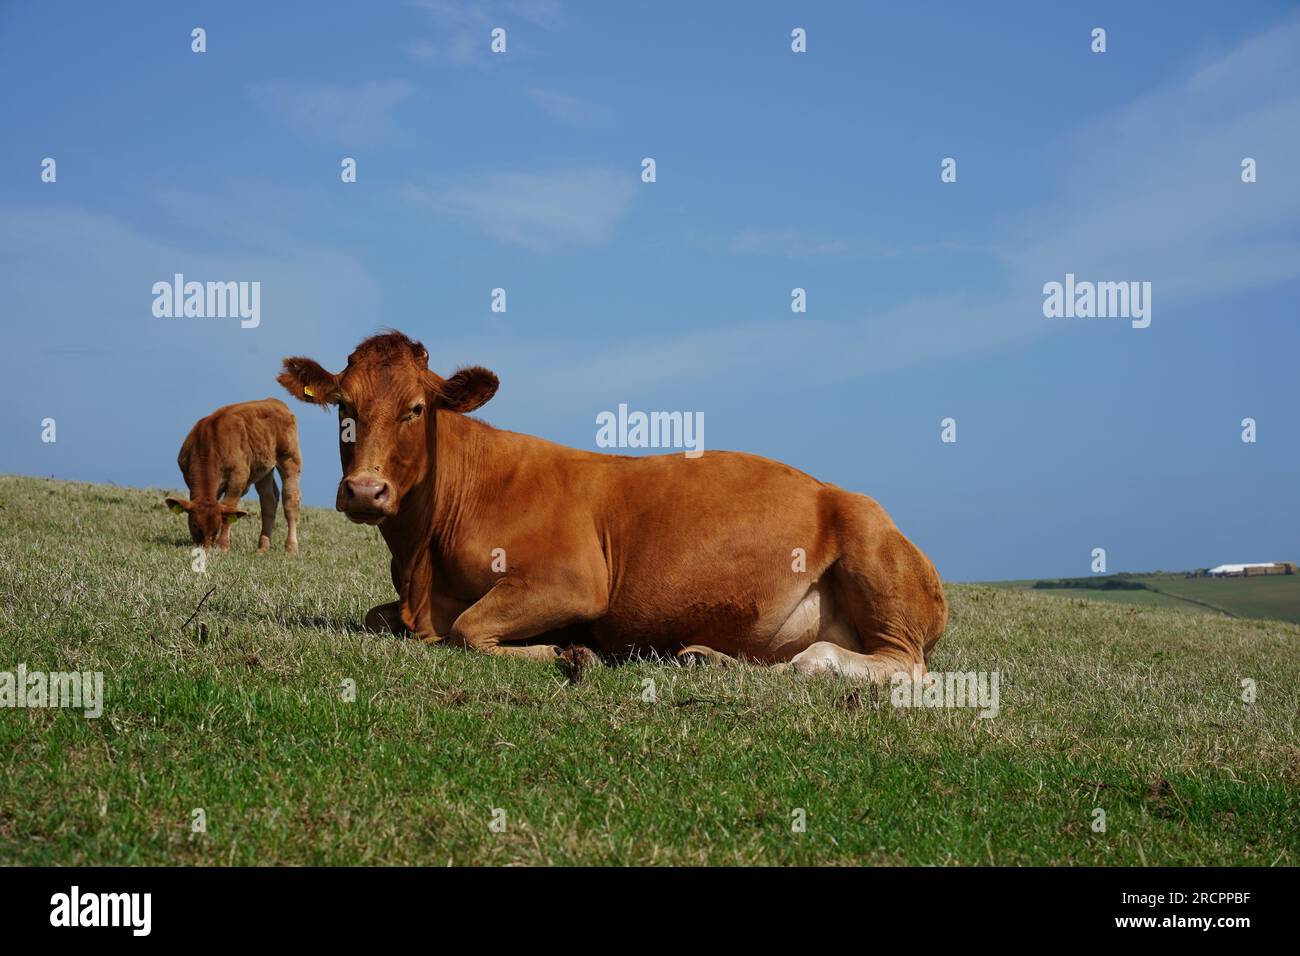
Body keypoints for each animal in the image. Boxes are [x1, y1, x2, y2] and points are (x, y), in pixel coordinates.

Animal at [165, 398, 303, 553]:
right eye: (194, 524)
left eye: (217, 526)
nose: (205, 547)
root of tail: (274, 401)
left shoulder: (238, 478)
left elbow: (228, 509)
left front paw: (223, 546)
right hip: (264, 468)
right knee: (268, 501)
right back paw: (262, 548)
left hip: (290, 458)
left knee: (290, 501)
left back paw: (291, 548)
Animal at [277, 332, 946, 681]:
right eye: (344, 407)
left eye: (417, 408)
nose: (366, 491)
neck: (422, 565)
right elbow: (377, 617)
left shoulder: (573, 581)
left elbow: (468, 628)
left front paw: (569, 651)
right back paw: (702, 657)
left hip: (871, 554)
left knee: (878, 662)